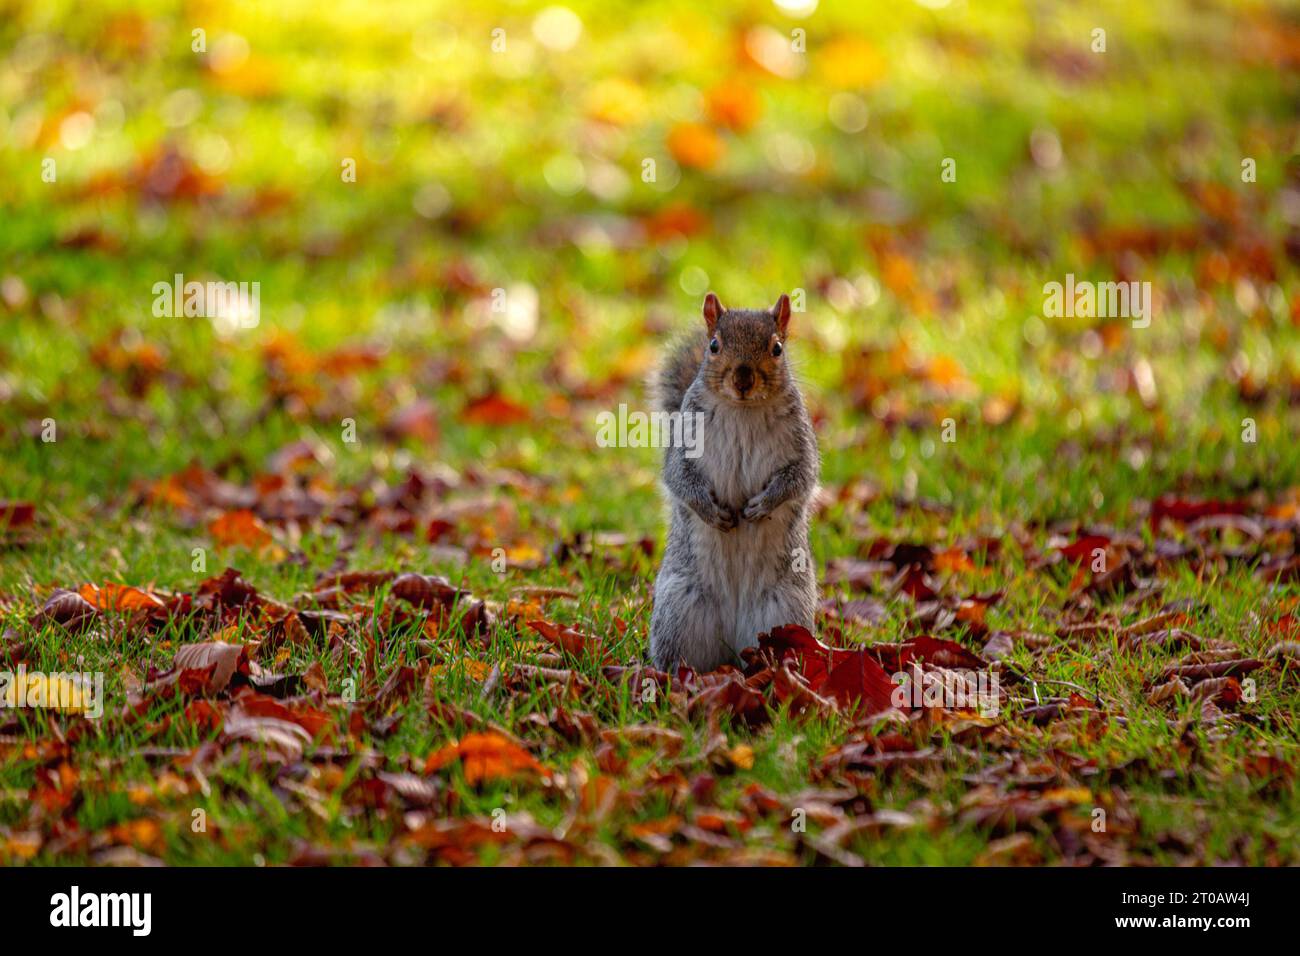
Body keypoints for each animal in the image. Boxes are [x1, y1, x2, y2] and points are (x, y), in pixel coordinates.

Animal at [649, 292, 820, 672]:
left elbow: (800, 476)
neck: (743, 410)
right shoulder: (683, 444)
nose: (743, 379)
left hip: (787, 608)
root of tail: (732, 641)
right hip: (678, 608)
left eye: (777, 348)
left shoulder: (801, 445)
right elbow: (679, 478)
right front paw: (712, 512)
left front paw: (762, 505)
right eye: (714, 345)